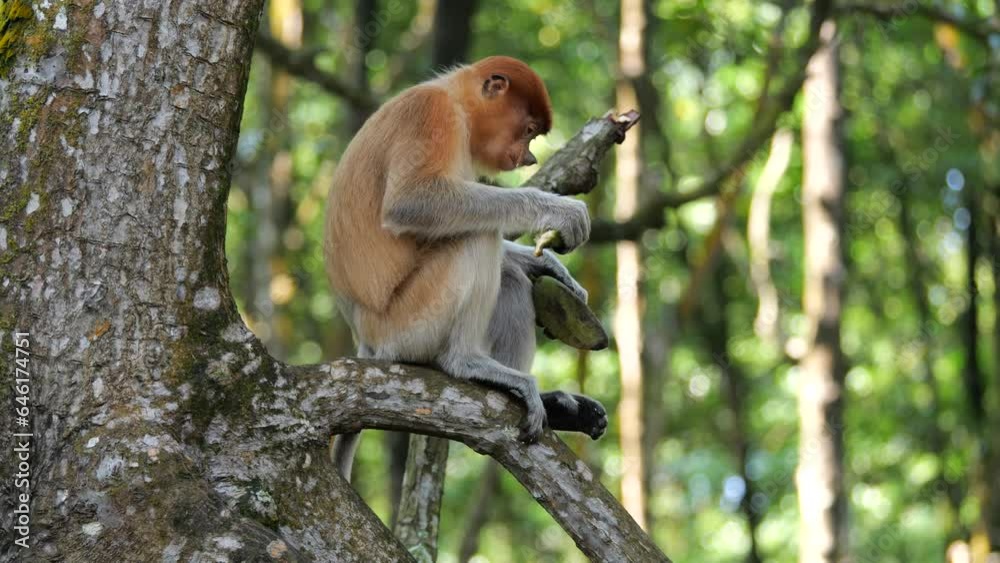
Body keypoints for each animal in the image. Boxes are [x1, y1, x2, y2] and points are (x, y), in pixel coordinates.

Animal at [324, 56, 608, 481]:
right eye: (528, 130)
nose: (528, 158)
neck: (454, 99)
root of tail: (366, 339)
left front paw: (549, 266)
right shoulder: (432, 115)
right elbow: (412, 202)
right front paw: (557, 210)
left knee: (507, 278)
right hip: (407, 326)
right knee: (475, 238)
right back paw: (466, 363)